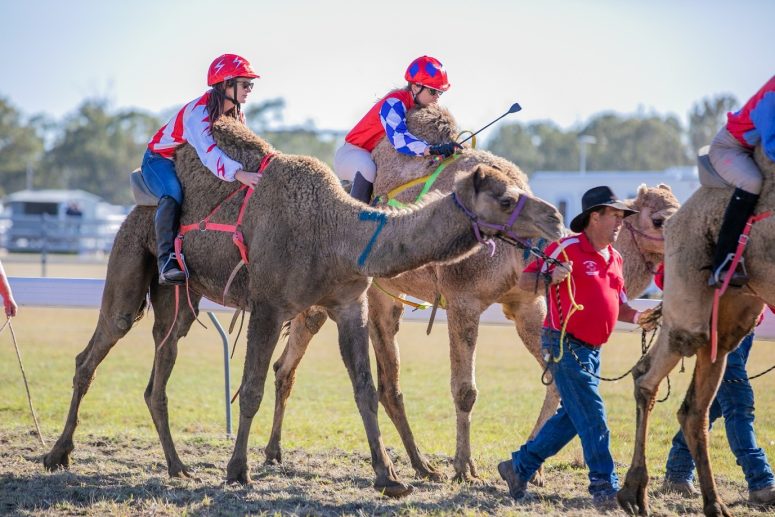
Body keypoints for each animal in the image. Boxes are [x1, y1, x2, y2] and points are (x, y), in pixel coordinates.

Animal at [41, 116, 563, 496]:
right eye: (506, 197)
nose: (555, 217)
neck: (336, 229)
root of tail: (137, 204)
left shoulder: (347, 303)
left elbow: (363, 389)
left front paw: (389, 478)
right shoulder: (269, 303)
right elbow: (251, 388)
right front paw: (237, 471)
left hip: (182, 297)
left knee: (161, 367)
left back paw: (177, 467)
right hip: (130, 258)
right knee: (94, 350)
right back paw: (57, 454)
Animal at [263, 104, 680, 483]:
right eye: (660, 219)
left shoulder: (527, 305)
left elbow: (555, 384)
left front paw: (531, 471)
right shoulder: (464, 299)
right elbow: (465, 390)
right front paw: (466, 468)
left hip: (385, 299)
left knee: (386, 382)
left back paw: (420, 465)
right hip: (326, 292)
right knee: (289, 365)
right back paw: (274, 452)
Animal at [617, 144, 775, 517]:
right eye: (655, 219)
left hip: (725, 315)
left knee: (686, 402)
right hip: (691, 309)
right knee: (650, 377)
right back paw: (637, 493)